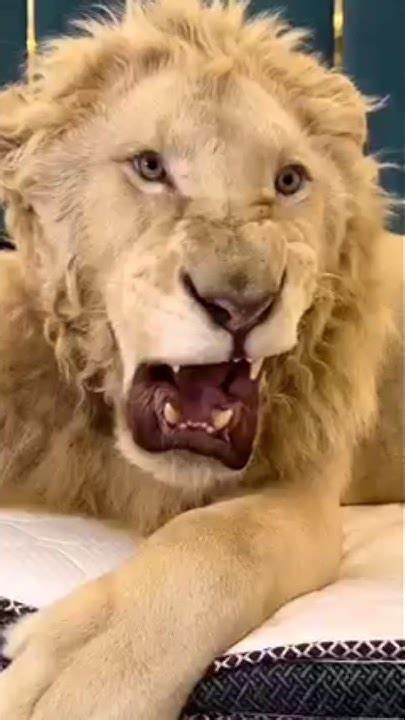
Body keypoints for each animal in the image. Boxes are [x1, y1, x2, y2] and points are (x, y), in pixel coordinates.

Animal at [0, 1, 402, 718]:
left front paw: (84, 676)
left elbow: (220, 542)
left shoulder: (305, 491)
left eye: (289, 180)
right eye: (150, 167)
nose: (241, 303)